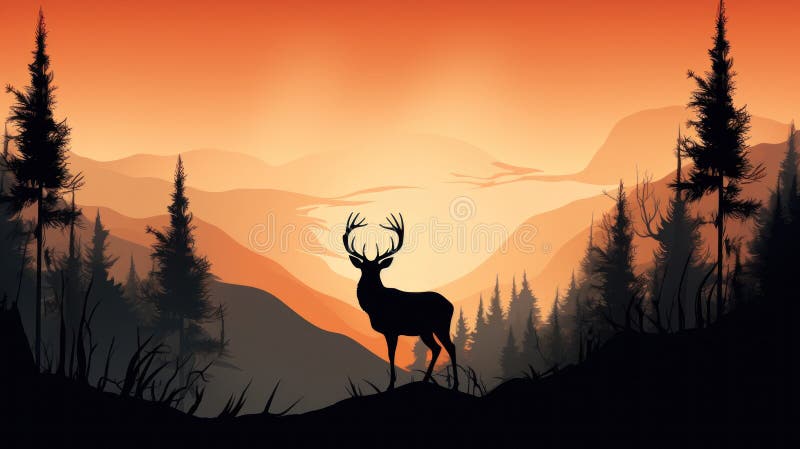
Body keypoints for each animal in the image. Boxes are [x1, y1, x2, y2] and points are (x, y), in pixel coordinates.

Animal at [343, 212, 459, 390]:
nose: (368, 281)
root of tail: (451, 305)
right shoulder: (388, 331)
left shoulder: (393, 329)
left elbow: (392, 354)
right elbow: (390, 354)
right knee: (437, 348)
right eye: (363, 268)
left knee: (450, 347)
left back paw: (455, 385)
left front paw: (390, 385)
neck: (376, 306)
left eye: (377, 269)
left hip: (441, 325)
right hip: (426, 330)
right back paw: (425, 379)